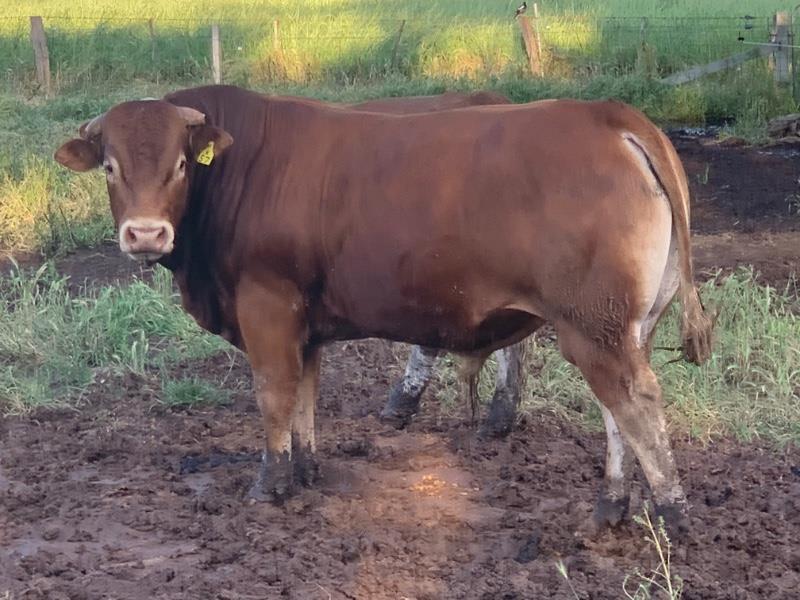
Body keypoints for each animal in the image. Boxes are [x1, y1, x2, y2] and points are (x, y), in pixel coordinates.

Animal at [54, 84, 714, 533]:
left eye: (180, 164)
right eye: (110, 166)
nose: (145, 234)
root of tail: (611, 116)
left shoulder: (267, 308)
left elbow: (273, 394)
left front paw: (270, 483)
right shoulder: (305, 324)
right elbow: (306, 396)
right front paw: (306, 471)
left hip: (593, 327)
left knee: (636, 403)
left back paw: (673, 513)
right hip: (624, 326)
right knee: (616, 412)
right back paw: (610, 506)